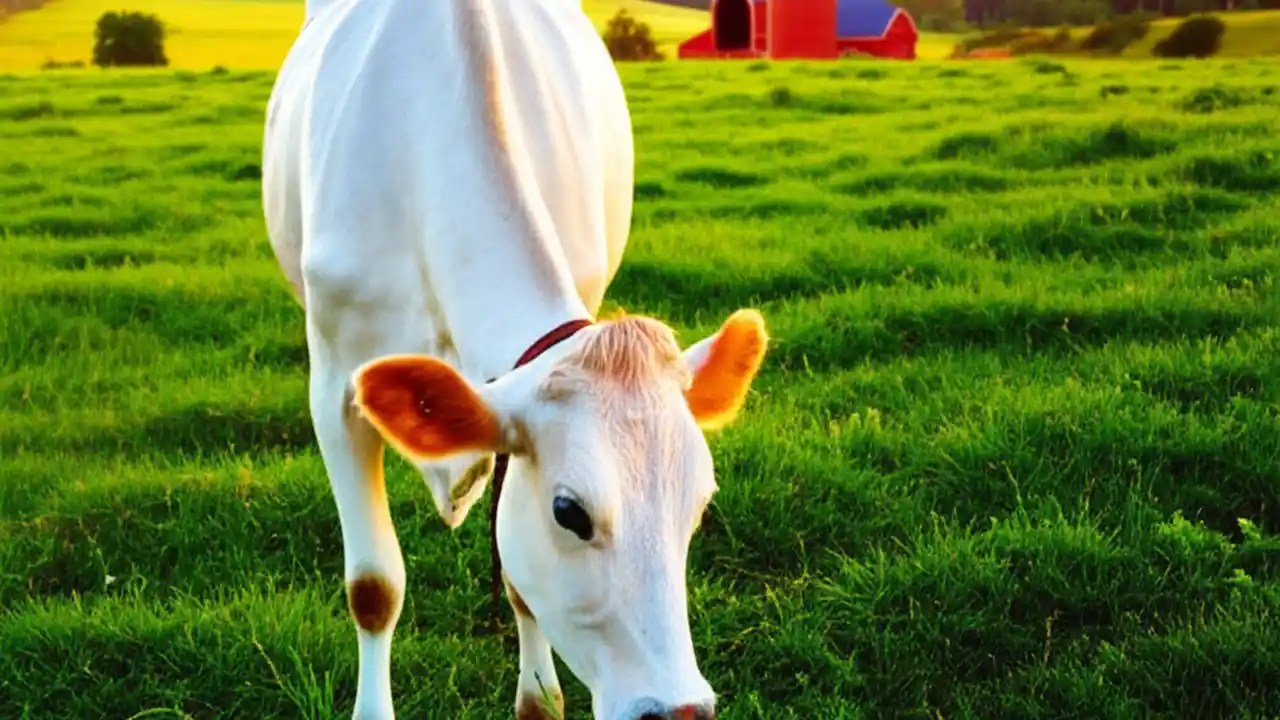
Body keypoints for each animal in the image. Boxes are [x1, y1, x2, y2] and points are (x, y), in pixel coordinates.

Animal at [261, 0, 768, 718]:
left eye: (698, 507)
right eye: (570, 512)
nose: (679, 709)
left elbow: (520, 581)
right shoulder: (335, 388)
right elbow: (374, 588)